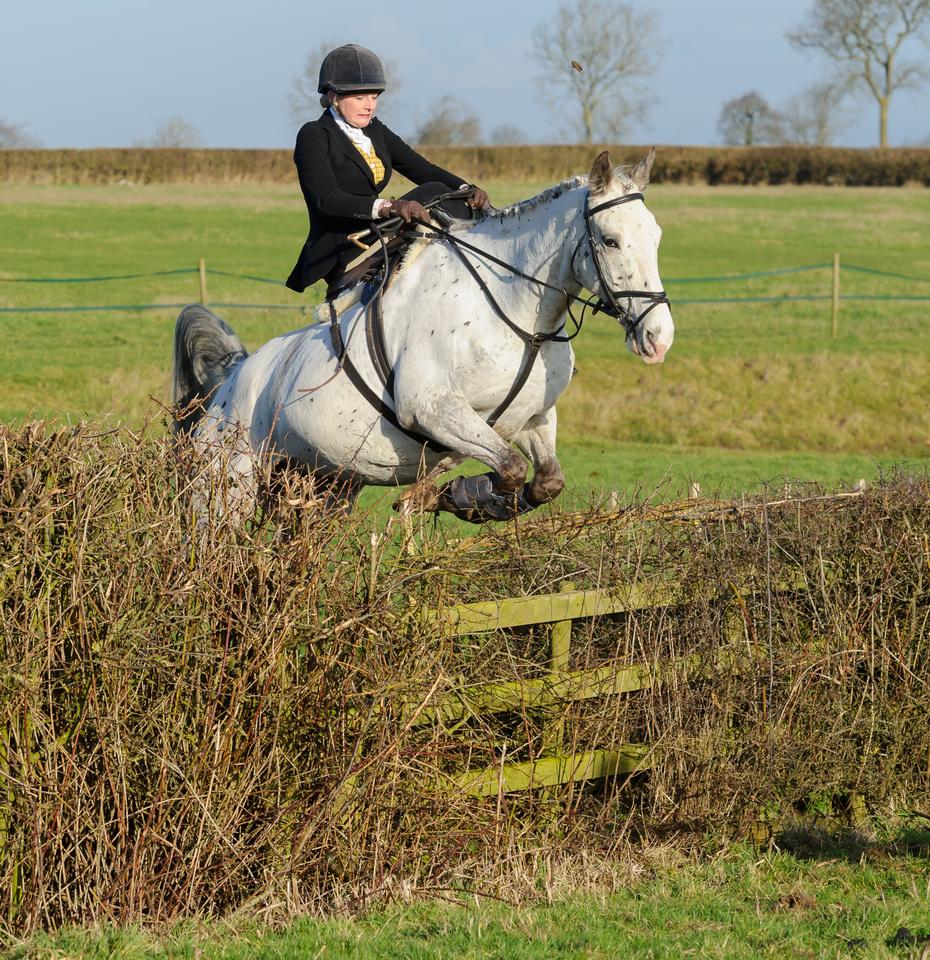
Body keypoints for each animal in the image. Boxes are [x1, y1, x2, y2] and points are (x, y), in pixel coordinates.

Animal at [172, 150, 674, 524]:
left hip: (324, 487)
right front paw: (455, 495)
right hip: (227, 486)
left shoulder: (532, 417)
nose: (659, 338)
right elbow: (510, 468)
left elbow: (546, 481)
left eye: (657, 236)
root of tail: (231, 377)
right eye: (609, 240)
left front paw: (456, 496)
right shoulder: (432, 408)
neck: (517, 318)